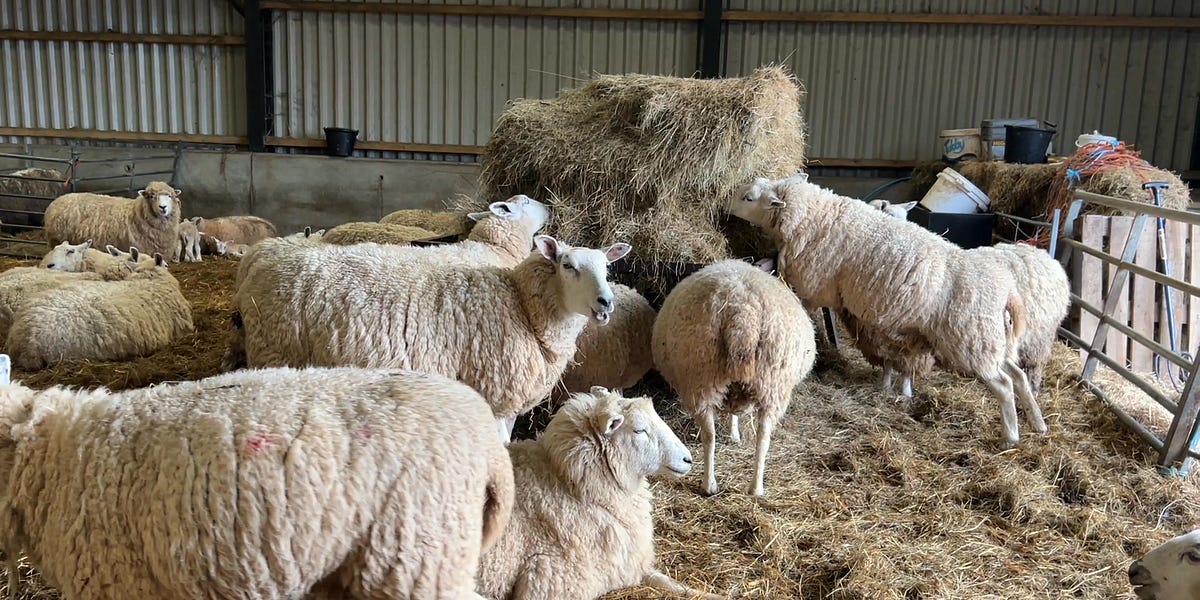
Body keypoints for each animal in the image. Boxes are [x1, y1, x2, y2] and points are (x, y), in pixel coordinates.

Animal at [43, 181, 182, 258]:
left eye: (170, 196)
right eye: (151, 196)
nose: (163, 207)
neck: (137, 214)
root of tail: (56, 201)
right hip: (56, 239)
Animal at [234, 234, 632, 442]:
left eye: (607, 267)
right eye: (568, 265)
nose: (605, 303)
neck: (522, 306)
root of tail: (261, 263)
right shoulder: (494, 393)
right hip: (274, 354)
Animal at [652, 258, 816, 497]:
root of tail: (743, 312)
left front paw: (733, 433)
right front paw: (735, 433)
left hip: (704, 378)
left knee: (713, 435)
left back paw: (714, 485)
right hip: (769, 383)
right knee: (759, 436)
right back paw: (750, 488)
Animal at [729, 174, 1044, 449]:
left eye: (748, 198)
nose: (724, 207)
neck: (817, 216)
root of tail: (1007, 291)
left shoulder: (812, 287)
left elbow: (808, 316)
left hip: (972, 341)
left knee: (1004, 384)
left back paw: (1010, 437)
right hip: (991, 341)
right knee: (1018, 375)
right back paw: (1038, 423)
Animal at [865, 200, 1072, 397]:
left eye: (905, 217)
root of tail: (1046, 257)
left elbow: (907, 365)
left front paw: (905, 393)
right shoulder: (885, 331)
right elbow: (888, 360)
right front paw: (885, 387)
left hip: (1038, 337)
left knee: (1034, 367)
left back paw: (1033, 391)